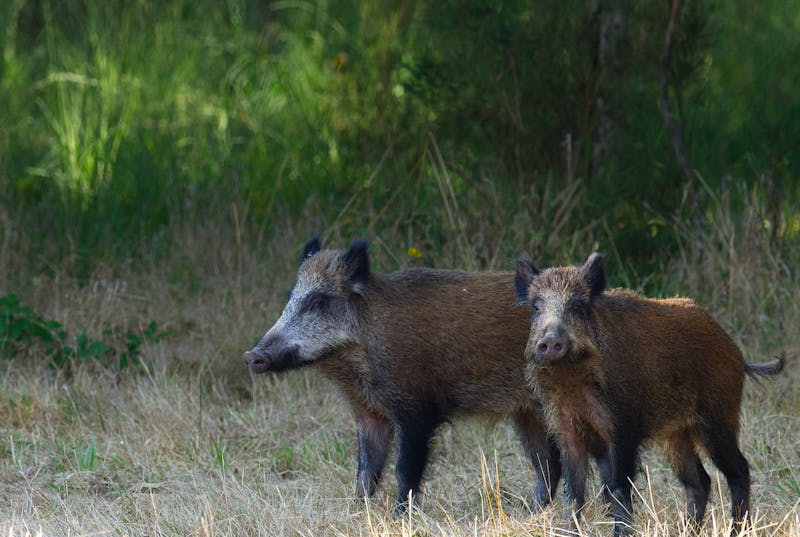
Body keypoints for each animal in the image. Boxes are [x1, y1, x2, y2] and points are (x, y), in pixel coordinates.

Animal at [243, 236, 561, 513]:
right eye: (290, 298)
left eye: (318, 302)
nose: (252, 356)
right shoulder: (369, 414)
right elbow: (365, 470)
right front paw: (357, 512)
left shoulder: (417, 410)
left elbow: (404, 470)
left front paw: (400, 517)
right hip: (528, 412)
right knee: (549, 465)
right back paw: (533, 513)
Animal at [514, 252, 784, 536]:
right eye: (536, 307)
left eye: (577, 305)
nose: (550, 340)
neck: (572, 382)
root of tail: (737, 354)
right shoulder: (566, 429)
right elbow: (573, 493)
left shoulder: (623, 427)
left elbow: (617, 488)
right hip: (675, 435)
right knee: (700, 480)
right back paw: (685, 531)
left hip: (718, 416)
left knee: (738, 468)